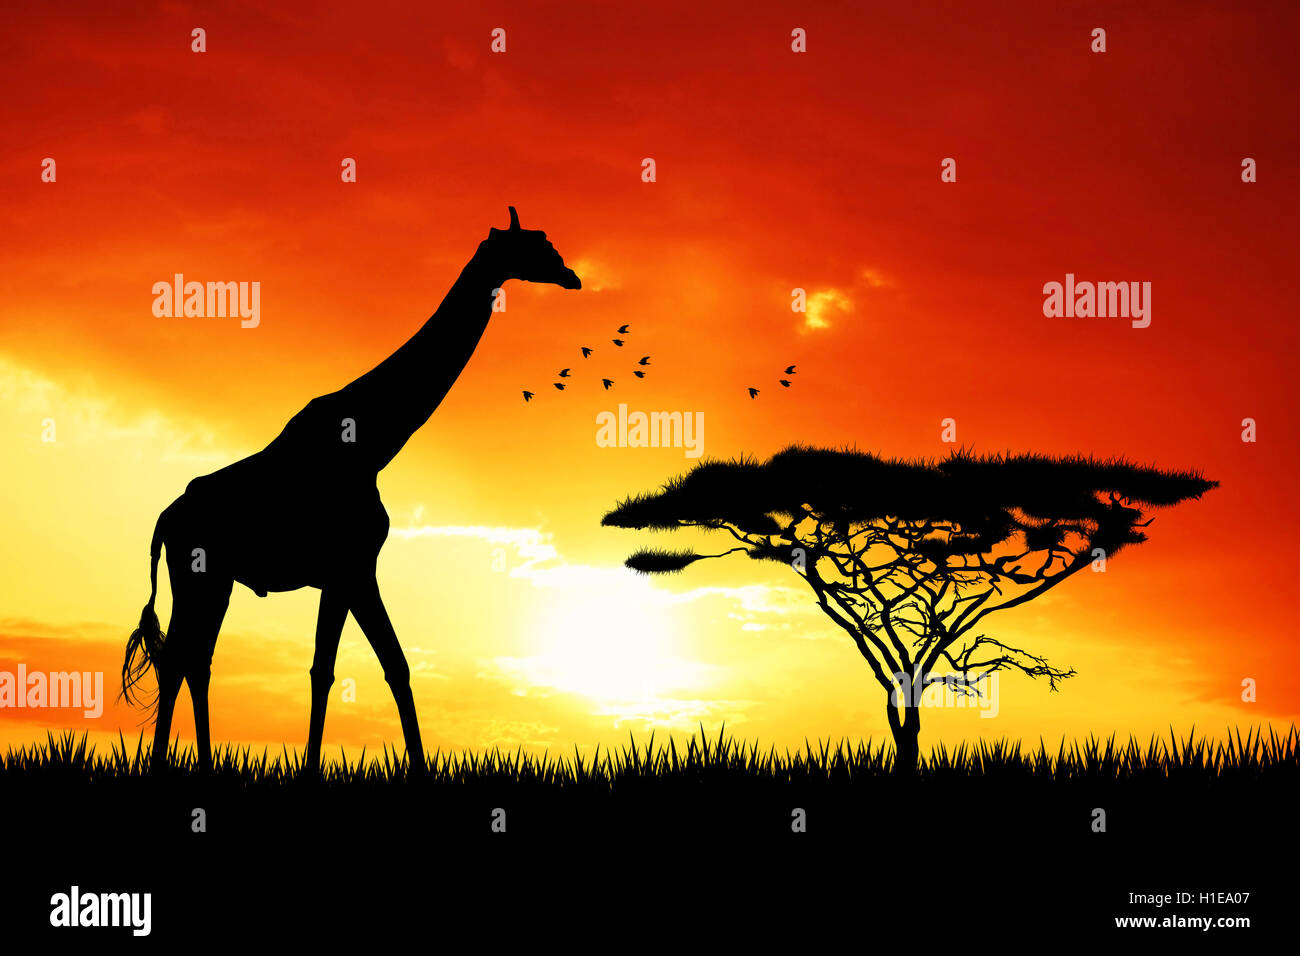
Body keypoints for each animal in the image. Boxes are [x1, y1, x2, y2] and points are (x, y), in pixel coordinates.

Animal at [122, 207, 581, 775]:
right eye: (535, 246)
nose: (571, 275)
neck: (375, 441)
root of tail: (166, 519)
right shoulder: (353, 567)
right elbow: (351, 668)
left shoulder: (349, 572)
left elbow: (370, 667)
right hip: (197, 577)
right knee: (178, 659)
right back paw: (163, 766)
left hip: (215, 580)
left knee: (195, 659)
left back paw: (202, 766)